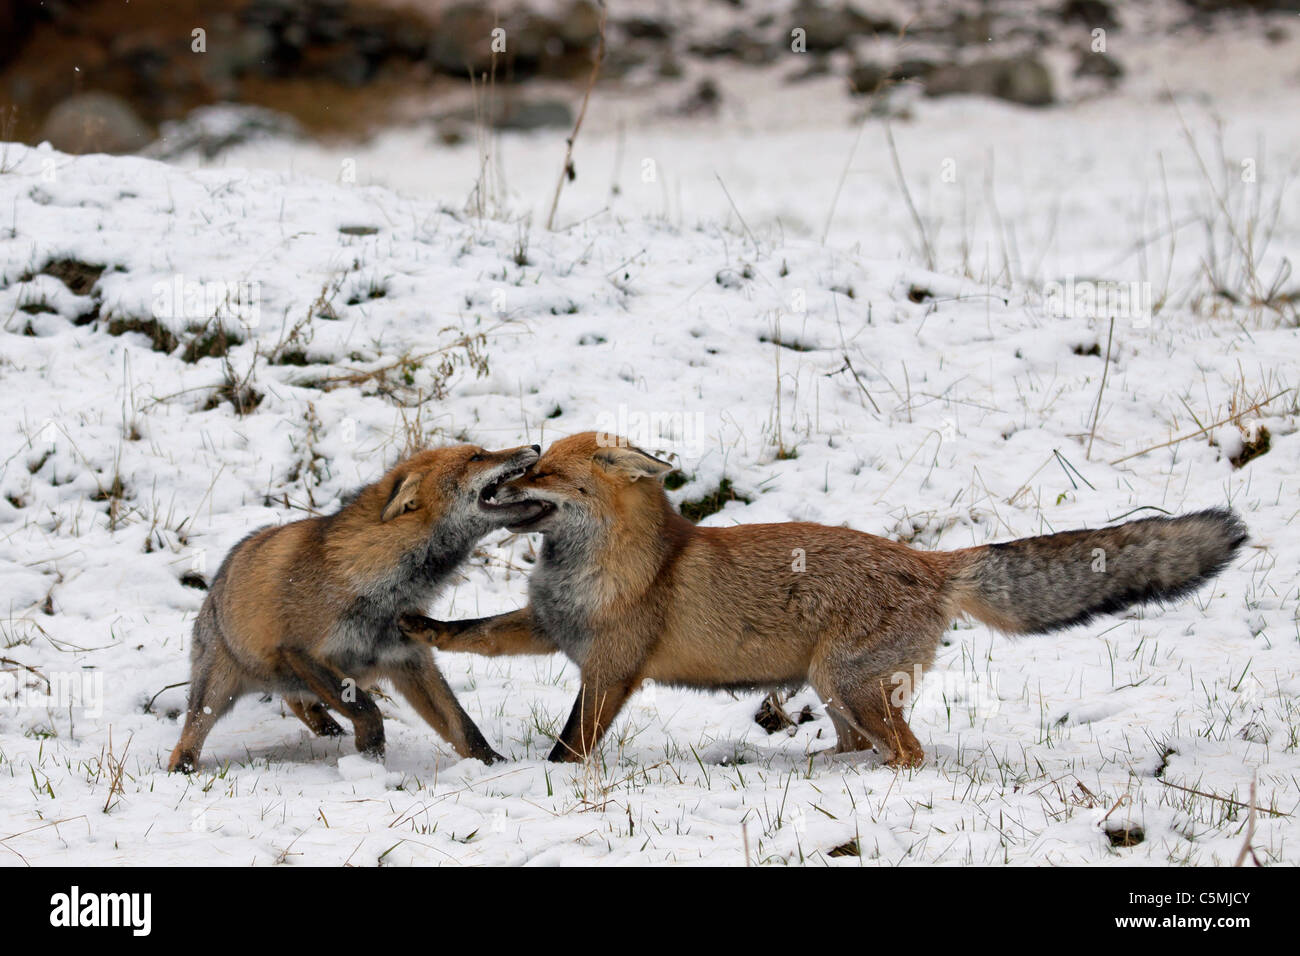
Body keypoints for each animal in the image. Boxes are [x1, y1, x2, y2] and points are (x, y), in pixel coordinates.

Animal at [167, 442, 546, 773]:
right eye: (476, 456)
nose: (536, 447)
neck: (385, 587)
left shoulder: (409, 657)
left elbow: (463, 727)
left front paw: (495, 767)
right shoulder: (301, 650)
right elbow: (367, 709)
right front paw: (371, 750)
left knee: (296, 699)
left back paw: (328, 731)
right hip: (216, 687)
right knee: (191, 732)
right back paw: (181, 768)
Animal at [399, 431, 1248, 768]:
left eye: (544, 475)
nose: (510, 471)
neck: (589, 569)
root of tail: (930, 560)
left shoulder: (610, 670)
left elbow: (569, 745)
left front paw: (543, 781)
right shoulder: (548, 628)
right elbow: (474, 631)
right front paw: (419, 621)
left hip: (848, 683)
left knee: (907, 754)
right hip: (833, 690)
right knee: (858, 746)